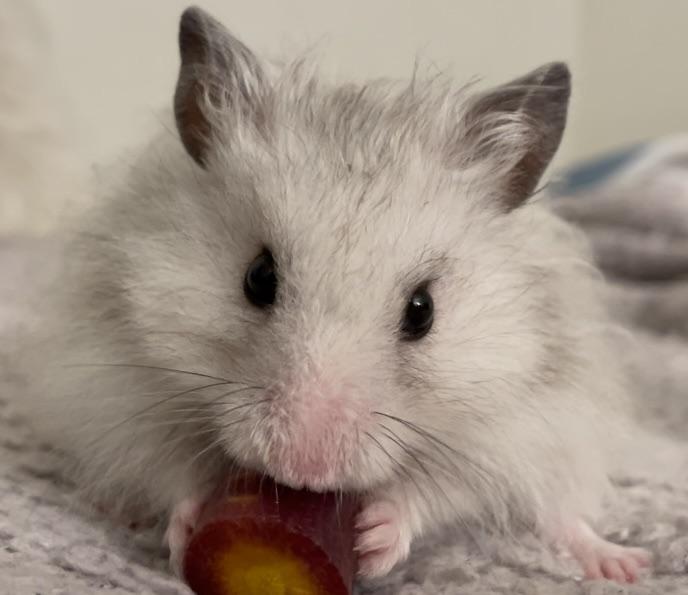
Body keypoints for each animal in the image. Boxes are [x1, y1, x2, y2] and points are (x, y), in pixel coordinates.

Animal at [16, 5, 649, 584]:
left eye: (423, 311)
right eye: (258, 278)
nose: (303, 470)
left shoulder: (512, 427)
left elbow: (441, 489)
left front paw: (376, 536)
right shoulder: (116, 393)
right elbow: (172, 472)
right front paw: (185, 523)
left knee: (561, 511)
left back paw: (619, 564)